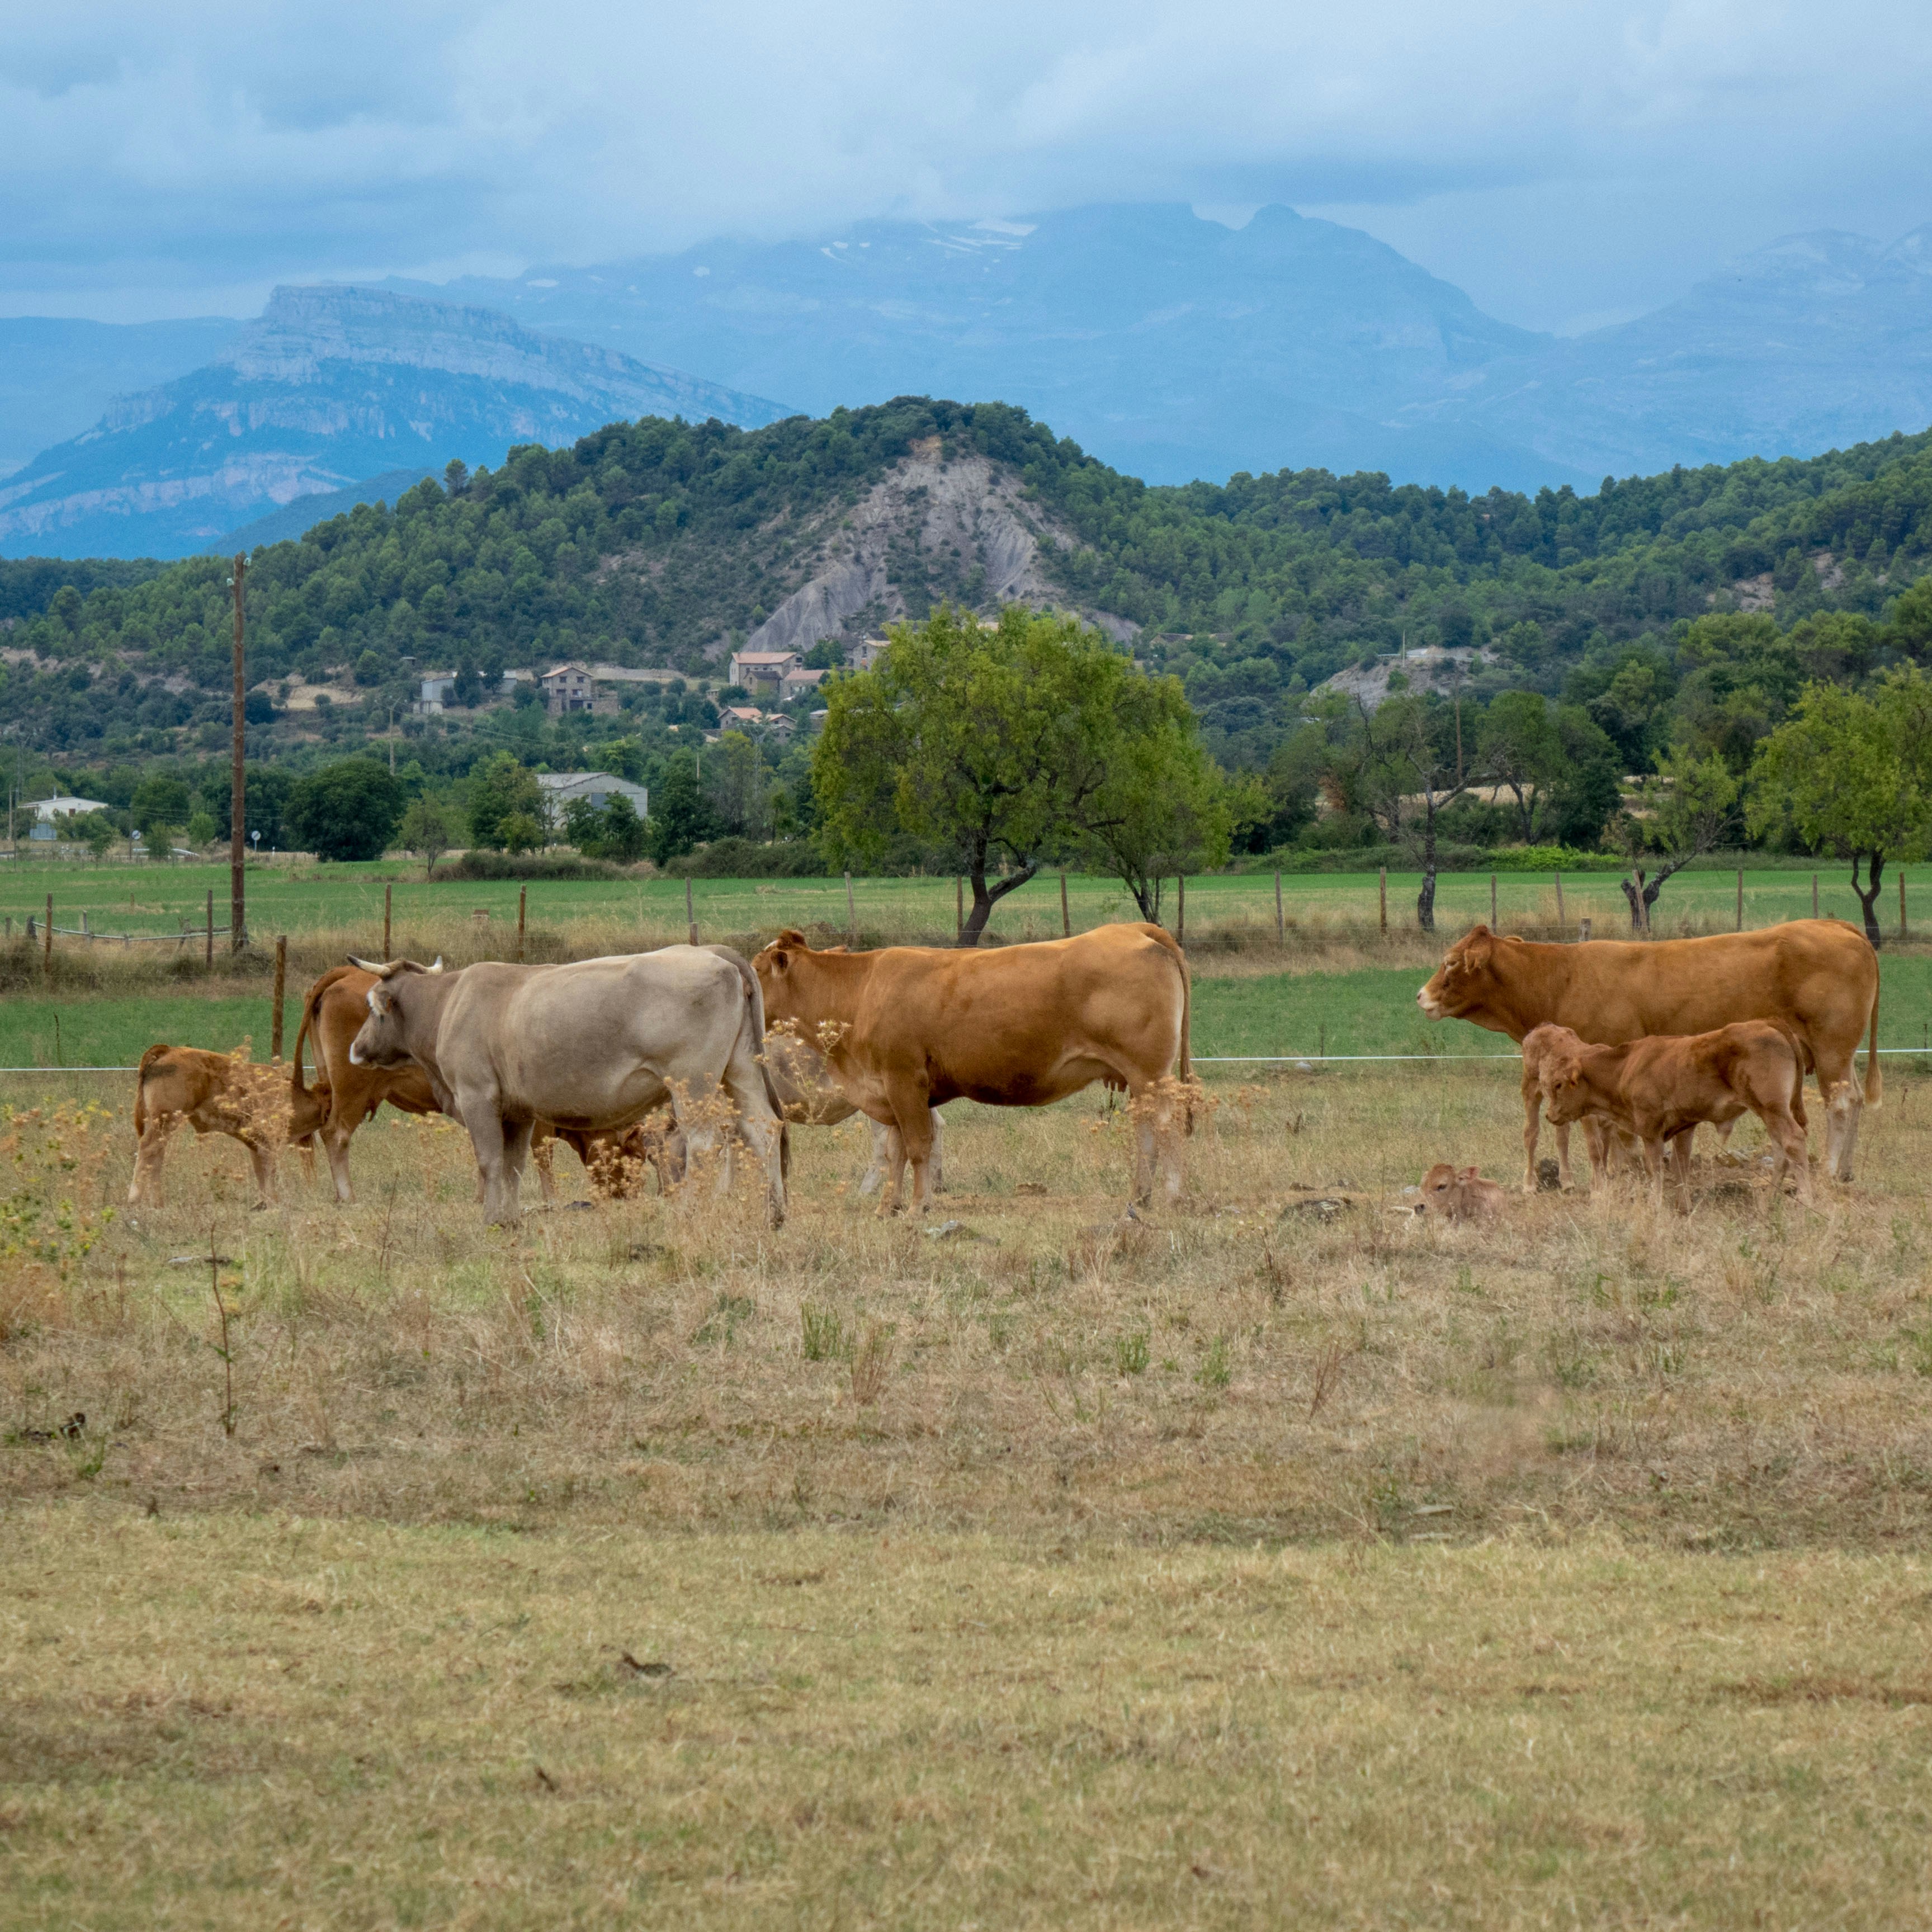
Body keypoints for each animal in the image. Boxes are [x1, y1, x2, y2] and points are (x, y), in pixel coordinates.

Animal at [128, 1045, 309, 1208]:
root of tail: (168, 1050)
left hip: (161, 1123)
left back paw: (157, 1203)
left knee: (157, 1153)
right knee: (148, 1147)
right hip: (167, 1119)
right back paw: (134, 1199)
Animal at [346, 945, 785, 1226]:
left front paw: (490, 1219)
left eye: (370, 1005)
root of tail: (716, 954)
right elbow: (513, 1166)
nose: (355, 1048)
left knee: (703, 1142)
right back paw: (775, 1214)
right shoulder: (517, 1112)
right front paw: (509, 1219)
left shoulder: (476, 1097)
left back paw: (690, 1211)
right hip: (741, 1070)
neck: (450, 1003)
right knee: (763, 1129)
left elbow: (490, 1162)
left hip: (692, 1083)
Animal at [752, 924, 1191, 1212]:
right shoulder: (887, 1089)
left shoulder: (903, 1081)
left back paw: (1171, 1197)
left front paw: (918, 1208)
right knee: (1146, 1132)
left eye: (755, 969)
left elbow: (917, 1147)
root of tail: (1130, 928)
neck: (860, 993)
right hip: (1139, 1080)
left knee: (1166, 1129)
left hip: (1151, 1074)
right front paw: (887, 1207)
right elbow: (895, 1151)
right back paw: (1140, 1197)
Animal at [1419, 920, 1878, 1182]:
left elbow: (1617, 1135)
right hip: (1841, 1054)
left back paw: (1830, 1170)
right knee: (1855, 1099)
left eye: (1451, 961)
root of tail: (1837, 925)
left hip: (1831, 1047)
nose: (1421, 995)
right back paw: (1846, 1171)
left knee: (1839, 1103)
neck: (1563, 977)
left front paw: (1625, 1175)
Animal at [1527, 1020, 1812, 1210]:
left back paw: (1805, 1199)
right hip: (1771, 1114)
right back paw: (1769, 1200)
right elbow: (1680, 1166)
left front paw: (1656, 1203)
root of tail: (1768, 1024)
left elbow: (1656, 1169)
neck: (1625, 1066)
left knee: (1793, 1142)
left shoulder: (1650, 1130)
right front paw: (1682, 1206)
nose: (1550, 1115)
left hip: (1773, 1109)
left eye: (1559, 1084)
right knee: (1780, 1151)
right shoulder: (1685, 1128)